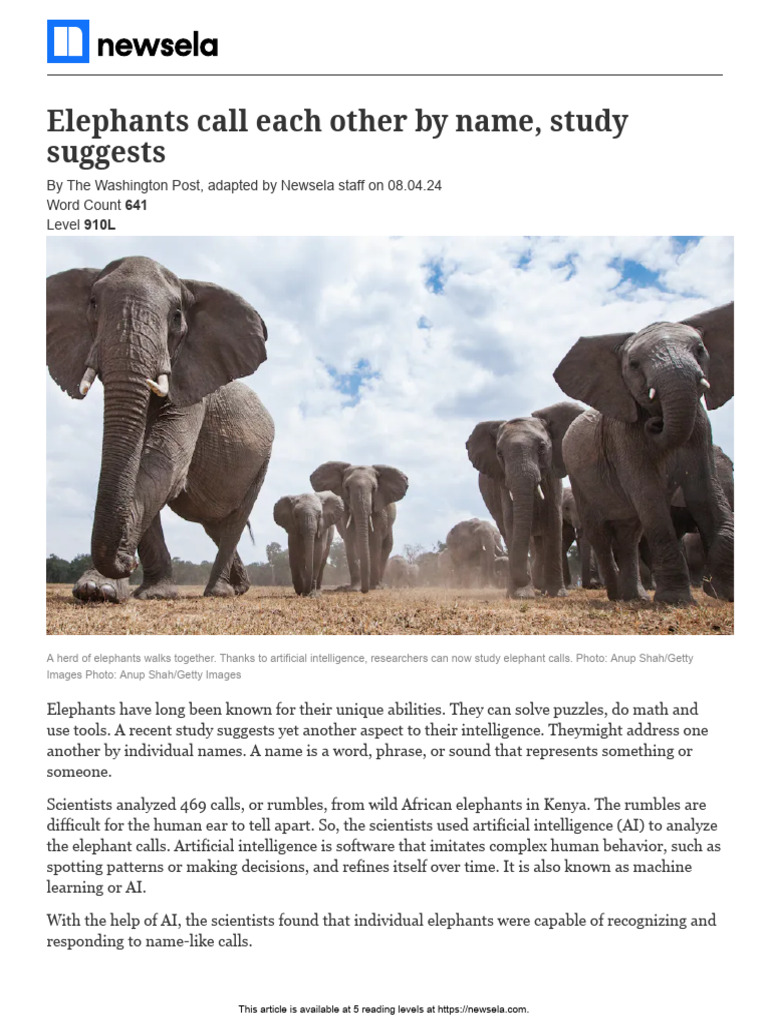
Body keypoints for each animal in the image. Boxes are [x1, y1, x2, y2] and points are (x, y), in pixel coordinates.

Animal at [47, 256, 273, 602]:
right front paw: (118, 590)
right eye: (93, 304)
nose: (127, 560)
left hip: (262, 463)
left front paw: (101, 588)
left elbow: (163, 464)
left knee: (233, 523)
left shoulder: (192, 388)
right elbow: (139, 464)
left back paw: (219, 592)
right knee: (216, 525)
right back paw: (238, 588)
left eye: (177, 315)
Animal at [308, 462, 409, 593]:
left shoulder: (380, 510)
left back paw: (380, 585)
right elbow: (350, 540)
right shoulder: (345, 511)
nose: (364, 590)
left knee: (386, 547)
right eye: (346, 487)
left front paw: (373, 587)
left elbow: (376, 541)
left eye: (374, 488)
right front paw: (354, 588)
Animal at [466, 402, 585, 598]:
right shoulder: (502, 480)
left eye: (542, 448)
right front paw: (522, 595)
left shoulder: (552, 473)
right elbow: (511, 522)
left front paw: (557, 594)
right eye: (499, 454)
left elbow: (554, 522)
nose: (525, 578)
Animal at [554, 302, 734, 604]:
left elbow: (704, 490)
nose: (656, 423)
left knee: (630, 535)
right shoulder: (623, 437)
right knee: (600, 534)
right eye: (634, 365)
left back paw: (634, 597)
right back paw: (616, 596)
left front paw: (725, 591)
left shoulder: (701, 429)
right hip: (580, 482)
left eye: (700, 349)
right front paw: (675, 600)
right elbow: (649, 495)